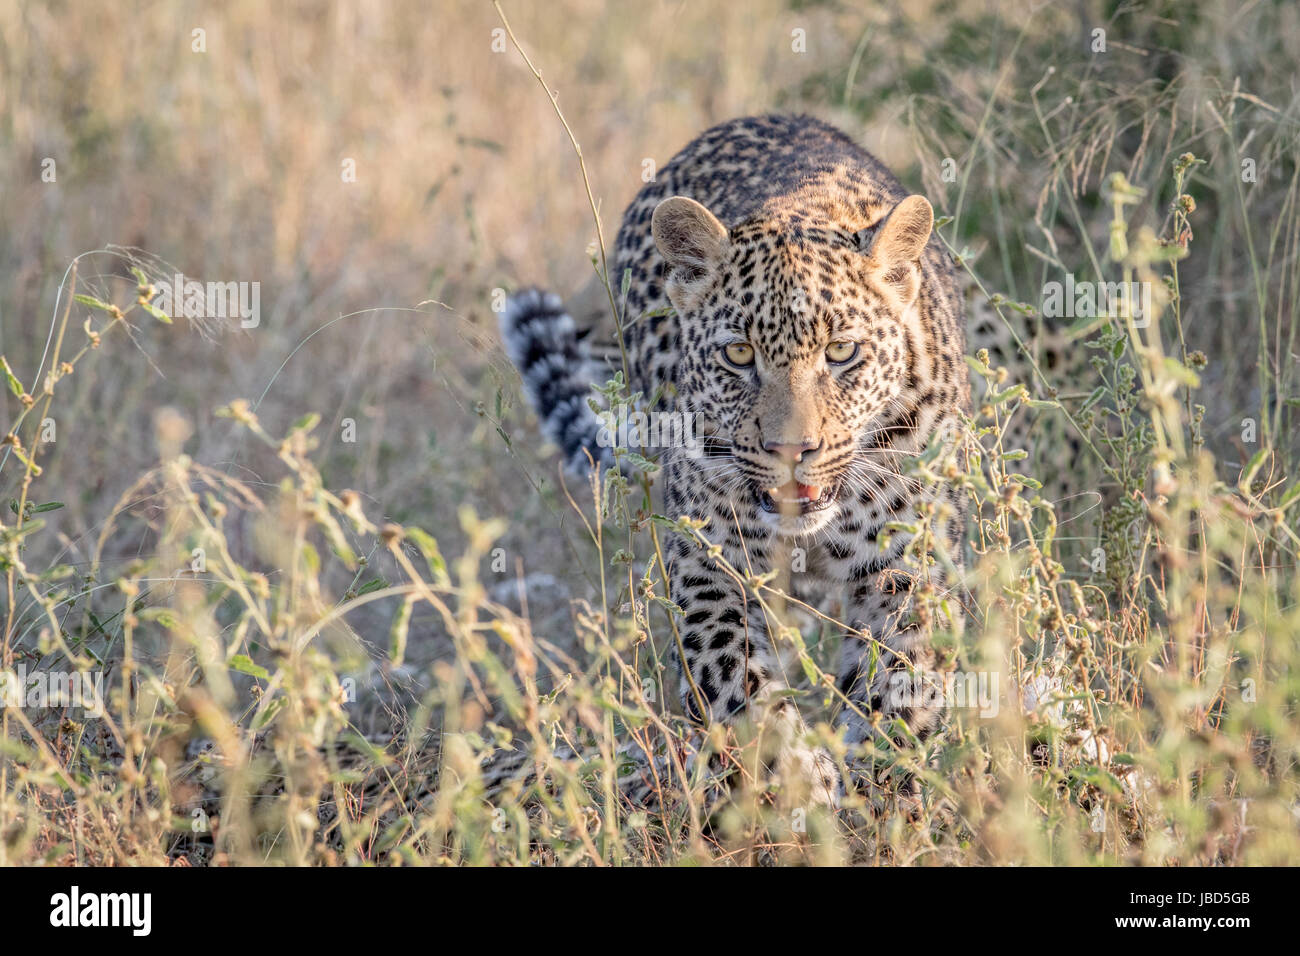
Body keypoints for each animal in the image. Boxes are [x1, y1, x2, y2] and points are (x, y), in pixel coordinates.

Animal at [499, 114, 973, 809]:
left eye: (841, 352)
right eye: (739, 354)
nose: (791, 450)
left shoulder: (910, 556)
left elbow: (906, 670)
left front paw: (883, 780)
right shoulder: (709, 558)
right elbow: (733, 673)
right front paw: (796, 778)